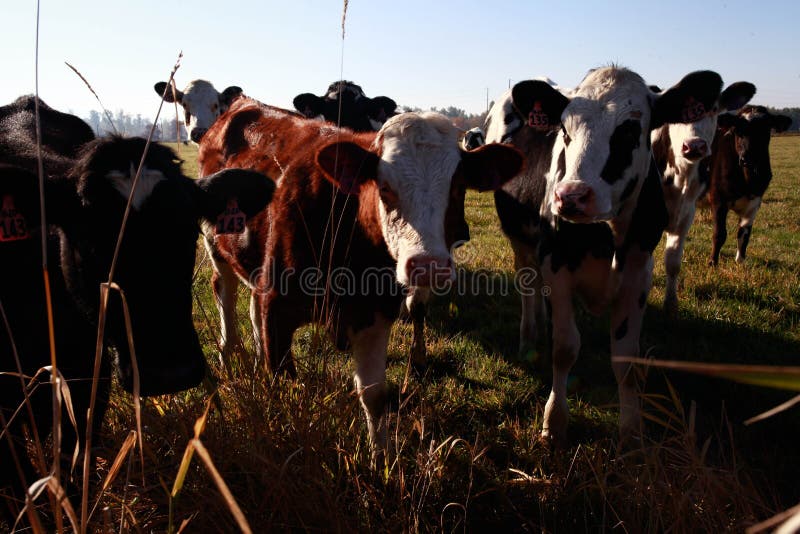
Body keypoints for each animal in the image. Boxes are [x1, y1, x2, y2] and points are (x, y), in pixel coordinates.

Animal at [199, 102, 523, 460]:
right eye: (385, 187)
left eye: (456, 187)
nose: (428, 266)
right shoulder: (279, 308)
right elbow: (283, 381)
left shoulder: (376, 314)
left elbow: (374, 394)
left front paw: (380, 458)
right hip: (216, 246)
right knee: (225, 295)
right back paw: (229, 356)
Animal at [487, 67, 724, 445]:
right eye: (565, 130)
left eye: (629, 130)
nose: (571, 196)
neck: (606, 235)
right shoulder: (556, 265)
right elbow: (564, 348)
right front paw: (554, 423)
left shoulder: (638, 274)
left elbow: (627, 360)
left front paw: (631, 431)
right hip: (521, 242)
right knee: (528, 285)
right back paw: (529, 335)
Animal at [707, 105, 792, 266]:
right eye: (737, 130)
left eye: (765, 130)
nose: (747, 157)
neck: (748, 181)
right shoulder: (718, 199)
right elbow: (719, 234)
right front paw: (713, 263)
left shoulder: (755, 203)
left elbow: (744, 234)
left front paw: (740, 262)